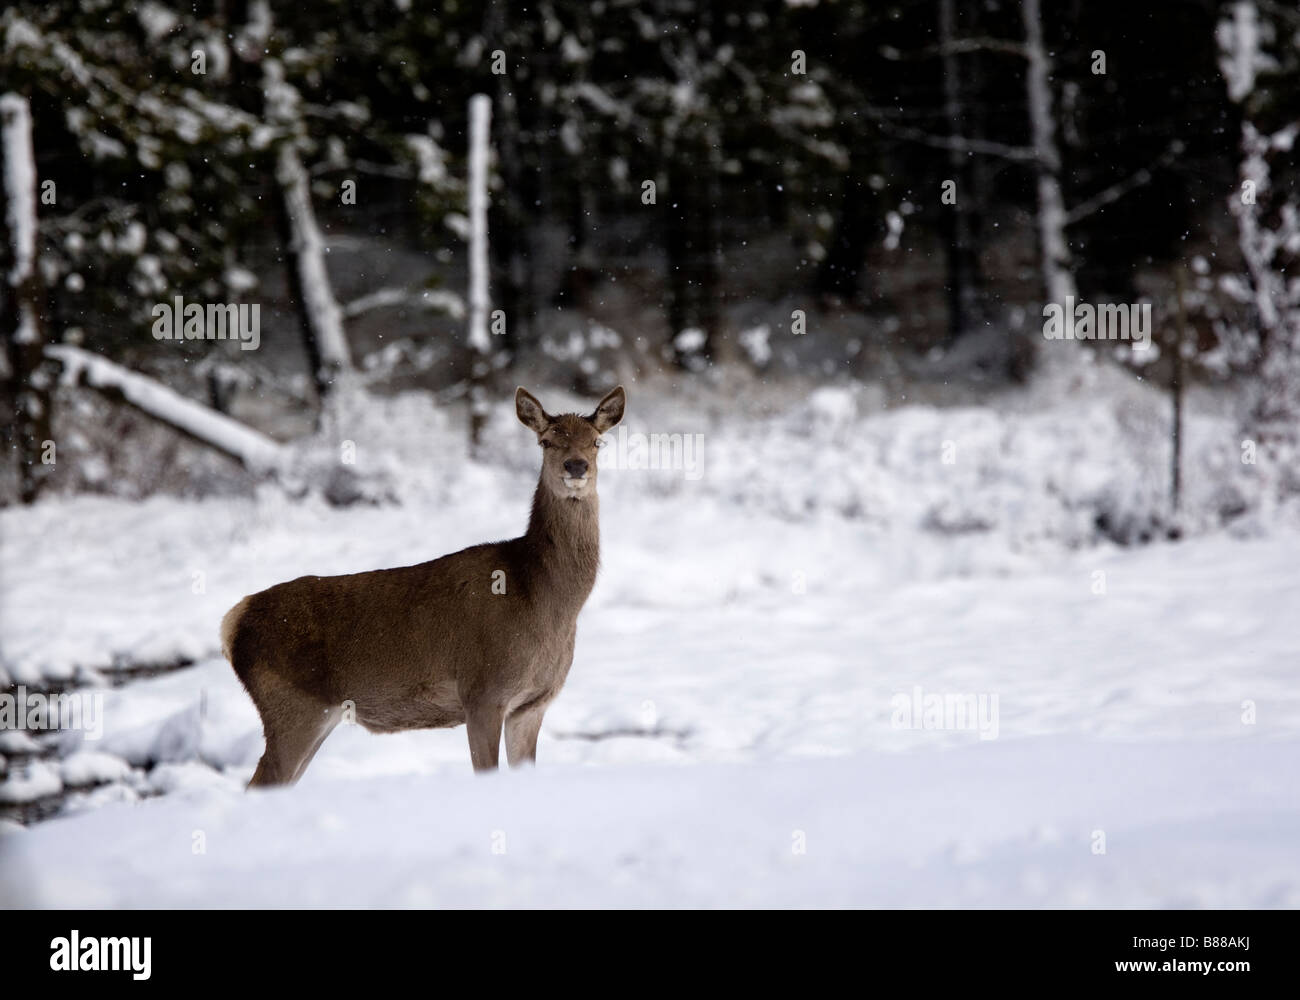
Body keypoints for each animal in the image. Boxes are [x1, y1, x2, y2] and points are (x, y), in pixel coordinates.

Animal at [220, 385, 625, 786]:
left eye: (597, 441)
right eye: (546, 441)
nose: (576, 466)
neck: (544, 601)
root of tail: (232, 623)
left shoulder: (531, 705)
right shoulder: (481, 693)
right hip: (292, 706)